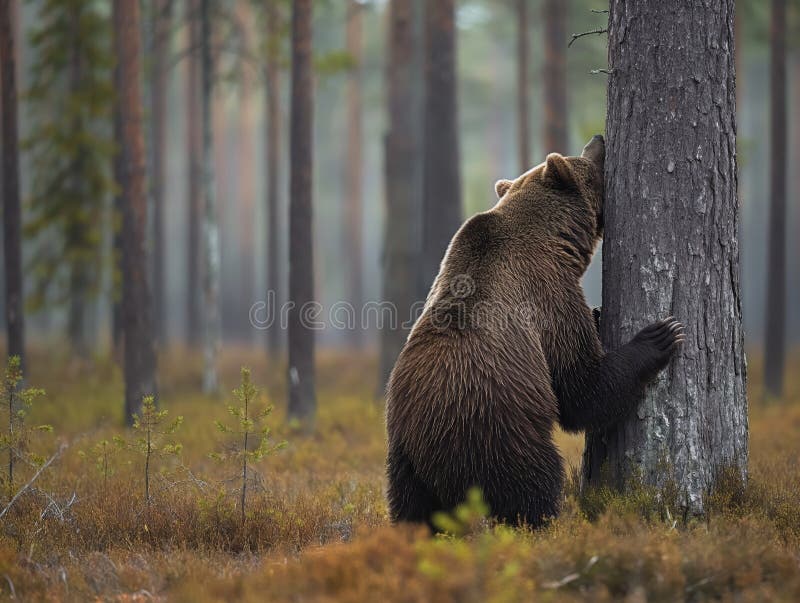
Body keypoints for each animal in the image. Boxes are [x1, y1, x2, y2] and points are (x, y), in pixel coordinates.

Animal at [385, 135, 684, 528]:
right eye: (590, 162)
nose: (598, 139)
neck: (555, 239)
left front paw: (600, 315)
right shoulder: (548, 294)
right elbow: (580, 386)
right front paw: (659, 336)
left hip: (403, 462)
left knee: (412, 513)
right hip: (496, 429)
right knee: (531, 485)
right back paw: (540, 525)